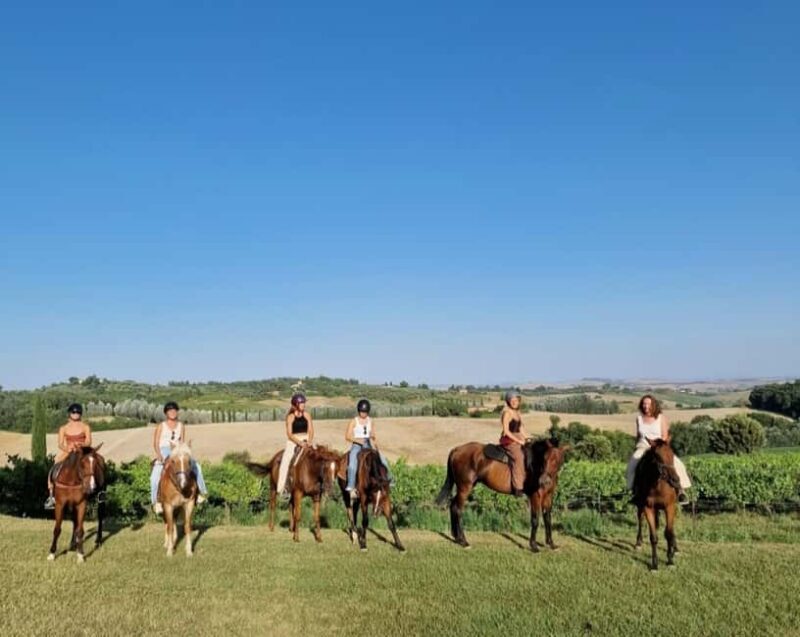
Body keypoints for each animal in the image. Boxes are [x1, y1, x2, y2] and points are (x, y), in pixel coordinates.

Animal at [436, 439, 569, 551]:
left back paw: (456, 538)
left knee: (453, 506)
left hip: (464, 487)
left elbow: (548, 518)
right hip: (465, 488)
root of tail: (457, 449)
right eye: (544, 459)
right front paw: (534, 546)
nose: (544, 481)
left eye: (557, 460)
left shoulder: (548, 496)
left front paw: (551, 544)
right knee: (458, 510)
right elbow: (535, 520)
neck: (535, 466)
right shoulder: (535, 496)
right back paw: (464, 541)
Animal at [632, 439, 680, 571]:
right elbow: (653, 537)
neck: (658, 485)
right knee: (640, 520)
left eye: (672, 455)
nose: (675, 480)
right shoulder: (648, 508)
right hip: (641, 507)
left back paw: (675, 548)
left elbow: (668, 533)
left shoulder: (670, 507)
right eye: (658, 457)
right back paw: (638, 542)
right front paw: (654, 564)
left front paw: (670, 560)